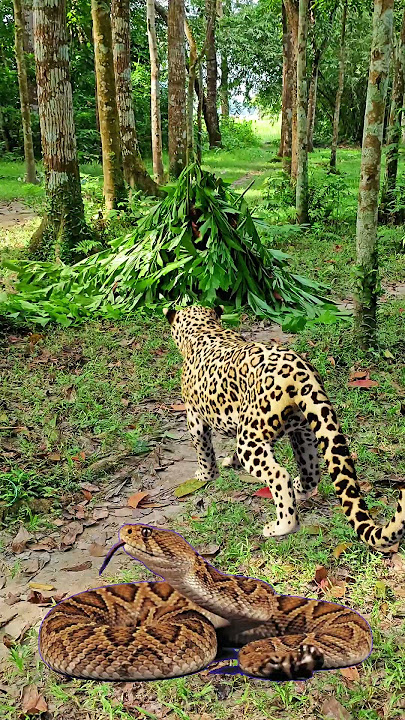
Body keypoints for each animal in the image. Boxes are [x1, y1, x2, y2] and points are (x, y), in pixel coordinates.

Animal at [164, 305, 405, 552]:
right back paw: (300, 486)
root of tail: (301, 375)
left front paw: (205, 475)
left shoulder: (194, 416)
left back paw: (280, 527)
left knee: (279, 476)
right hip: (304, 429)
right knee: (311, 473)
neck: (205, 329)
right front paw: (230, 462)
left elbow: (202, 449)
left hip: (251, 438)